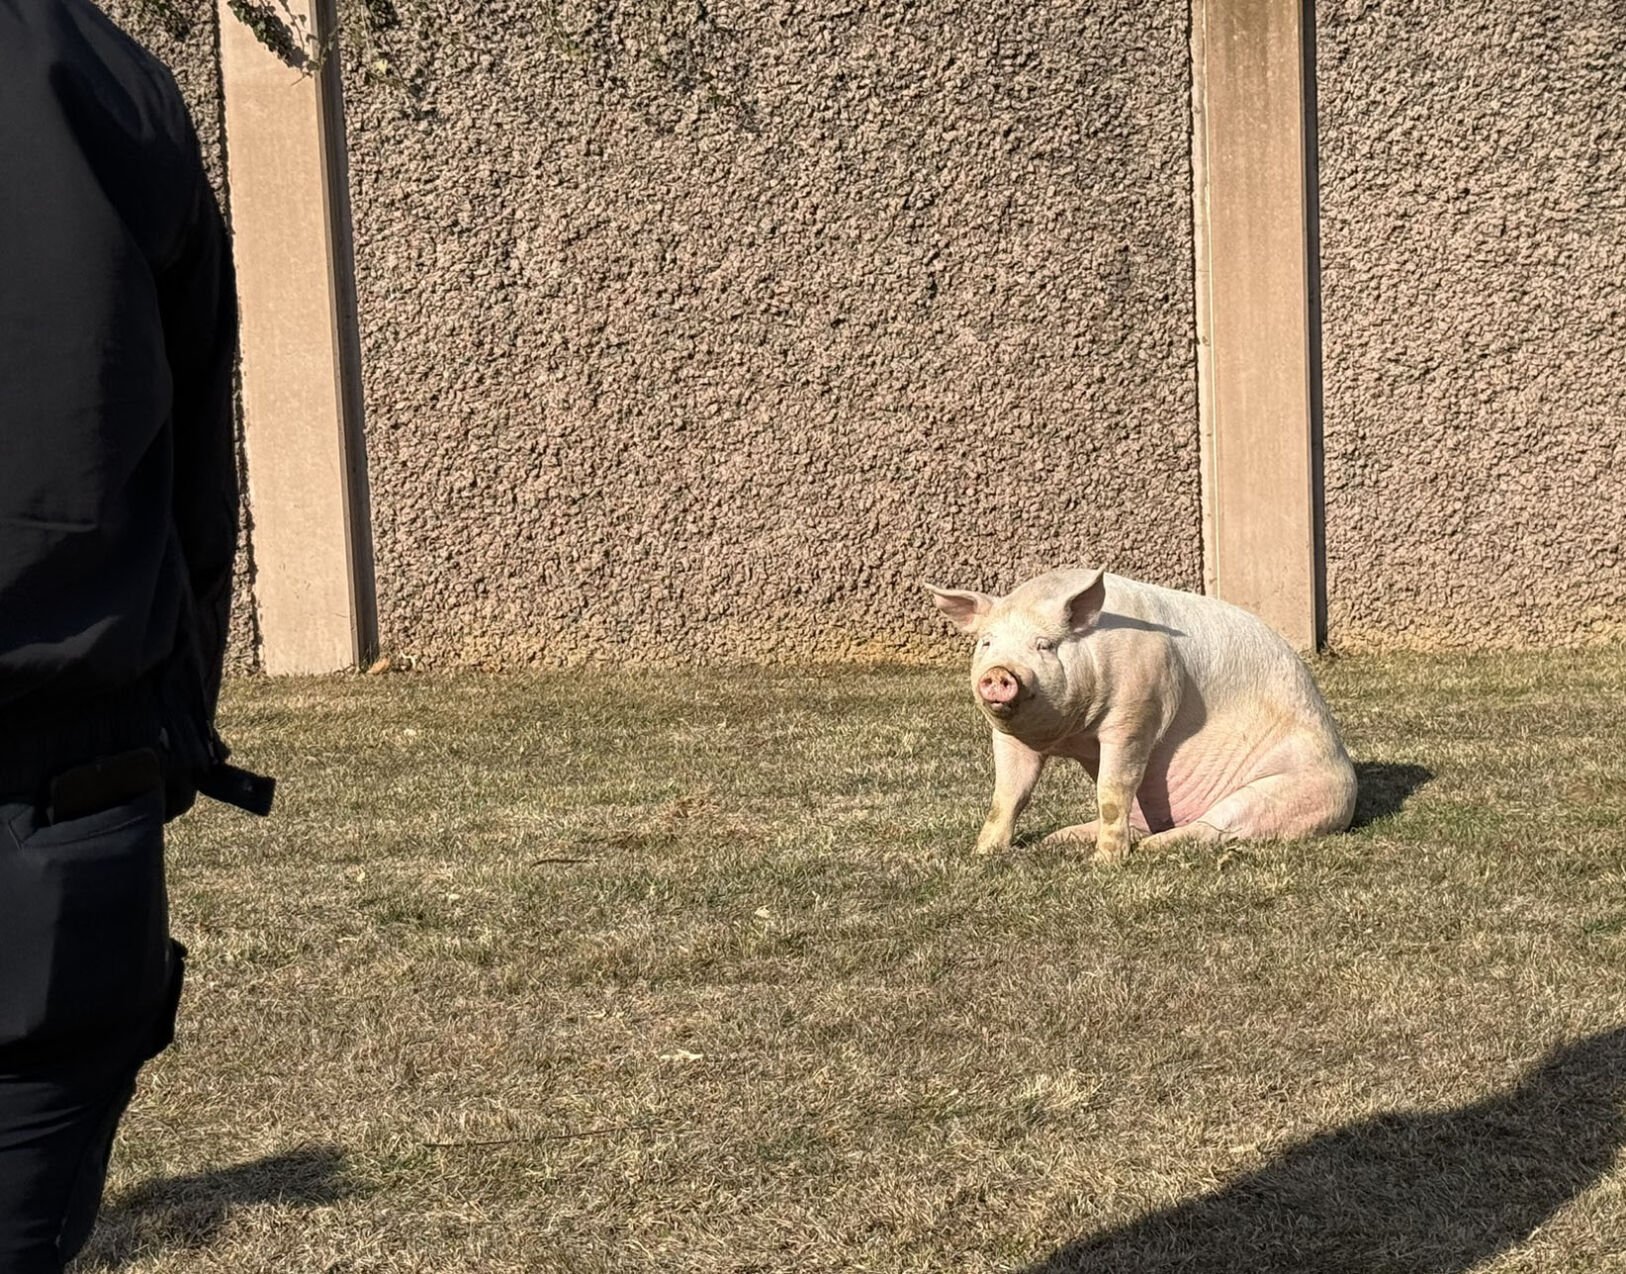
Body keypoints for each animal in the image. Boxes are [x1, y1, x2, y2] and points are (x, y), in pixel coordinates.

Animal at [927, 568, 1357, 862]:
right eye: (987, 642)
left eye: (1044, 645)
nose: (1000, 673)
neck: (1071, 736)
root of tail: (1349, 787)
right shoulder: (1008, 737)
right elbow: (1008, 793)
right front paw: (981, 853)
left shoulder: (1136, 715)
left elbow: (1113, 788)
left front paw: (1103, 864)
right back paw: (1058, 838)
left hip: (1279, 792)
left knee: (1214, 828)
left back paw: (1150, 847)